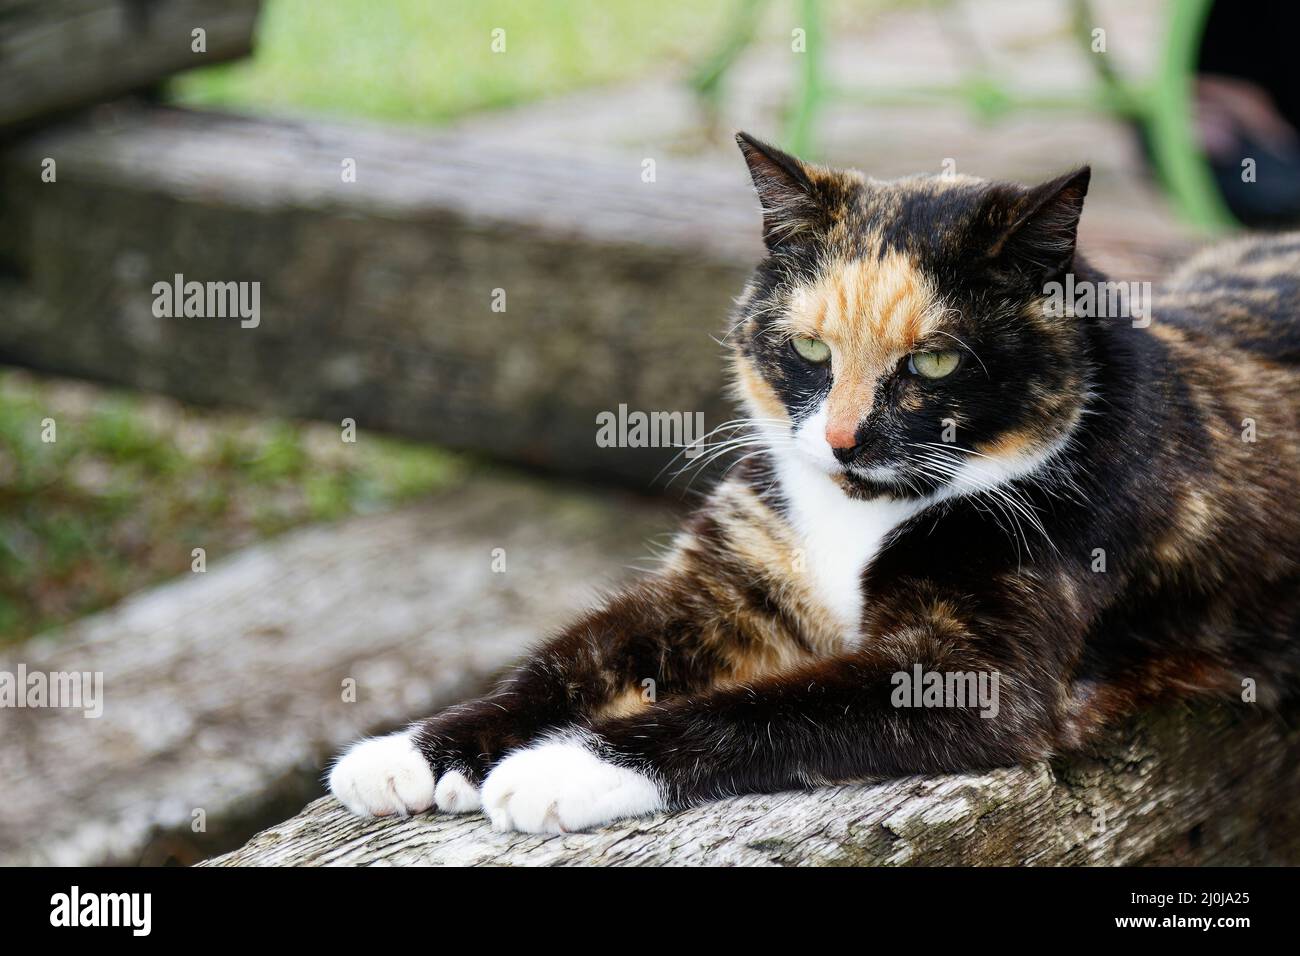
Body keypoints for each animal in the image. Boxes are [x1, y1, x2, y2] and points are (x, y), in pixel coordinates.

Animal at [327, 132, 1300, 832]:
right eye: (806, 348)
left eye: (936, 360)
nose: (840, 438)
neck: (857, 516)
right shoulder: (728, 585)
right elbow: (570, 658)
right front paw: (417, 752)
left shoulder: (975, 673)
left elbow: (769, 707)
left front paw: (564, 765)